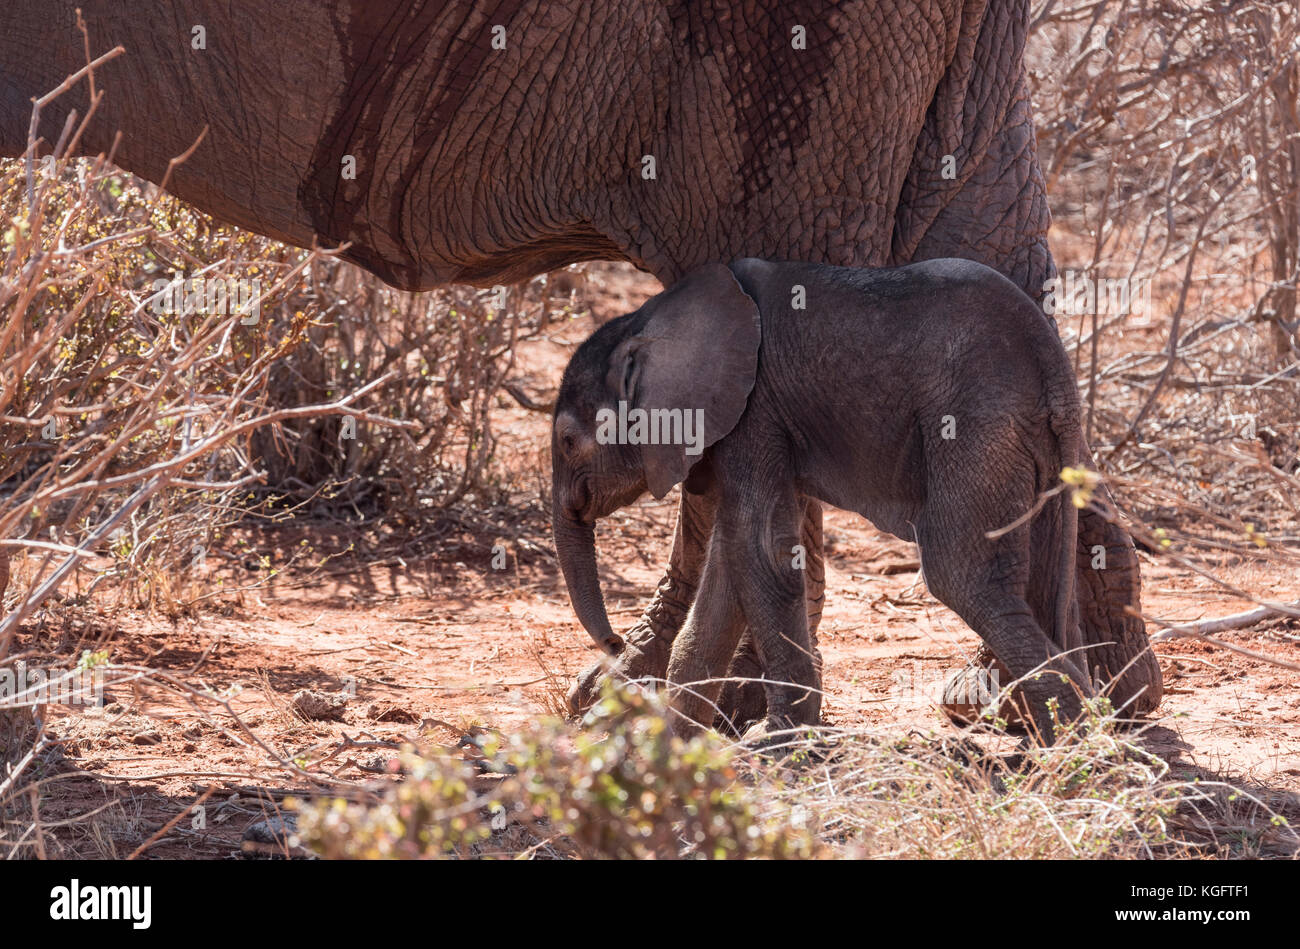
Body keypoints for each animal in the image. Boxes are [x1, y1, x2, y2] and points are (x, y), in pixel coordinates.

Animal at [551, 257, 1093, 742]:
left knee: (960, 574)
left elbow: (761, 556)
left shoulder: (754, 411)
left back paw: (1075, 745)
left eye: (567, 441)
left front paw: (774, 737)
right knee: (1045, 584)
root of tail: (1054, 365)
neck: (649, 320)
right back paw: (1078, 736)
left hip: (976, 427)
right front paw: (672, 738)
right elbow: (731, 564)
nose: (612, 640)